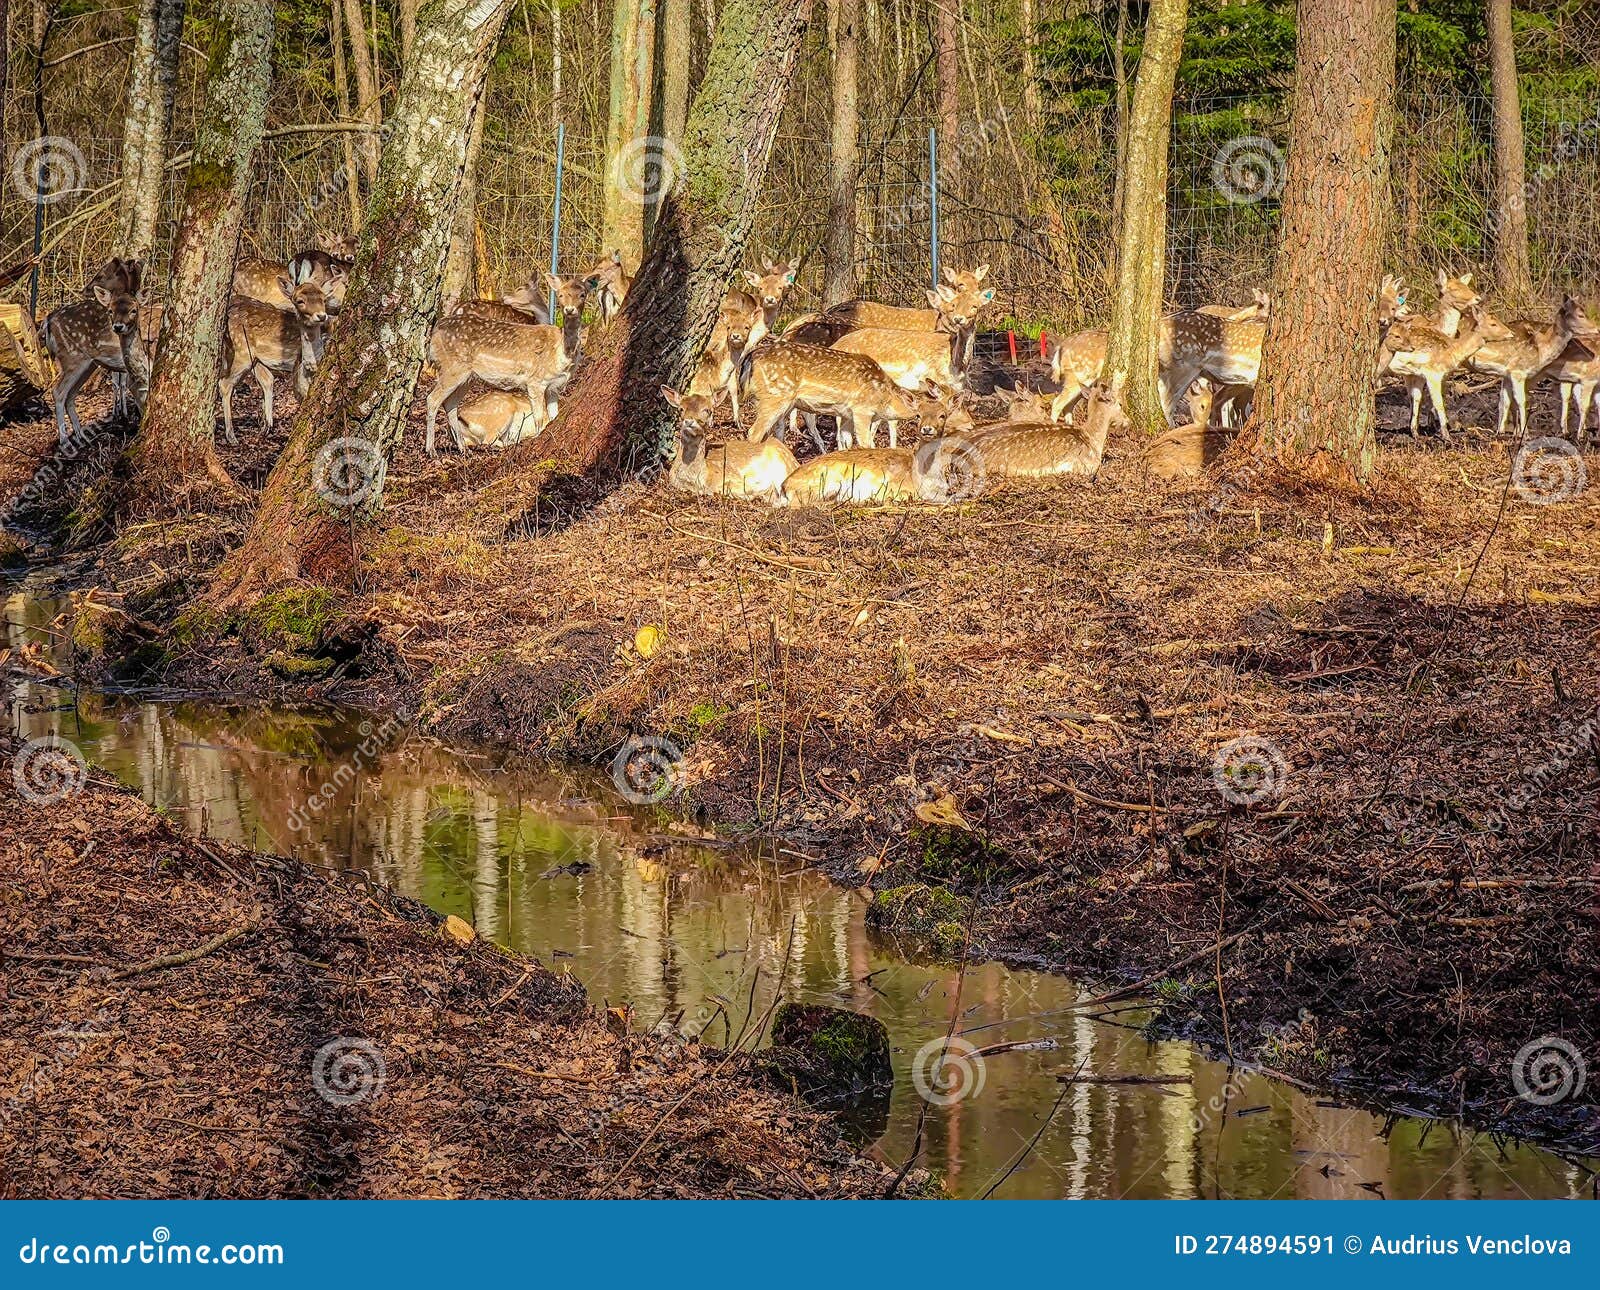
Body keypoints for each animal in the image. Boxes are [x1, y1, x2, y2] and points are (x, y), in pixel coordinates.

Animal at [42, 278, 152, 445]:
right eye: (110, 311)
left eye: (134, 310)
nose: (118, 326)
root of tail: (48, 320)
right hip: (72, 357)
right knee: (58, 392)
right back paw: (65, 441)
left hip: (88, 364)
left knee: (70, 394)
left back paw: (82, 436)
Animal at [218, 275, 330, 443]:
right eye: (300, 300)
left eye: (323, 299)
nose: (321, 316)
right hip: (239, 352)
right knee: (225, 383)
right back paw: (232, 437)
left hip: (254, 359)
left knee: (267, 380)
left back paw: (266, 428)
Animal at [426, 272, 590, 456]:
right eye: (560, 295)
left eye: (582, 294)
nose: (570, 310)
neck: (562, 353)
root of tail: (434, 334)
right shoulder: (535, 381)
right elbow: (539, 418)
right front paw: (535, 440)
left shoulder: (554, 386)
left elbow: (554, 417)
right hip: (452, 368)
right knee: (432, 399)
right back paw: (431, 450)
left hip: (467, 377)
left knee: (450, 404)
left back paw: (463, 449)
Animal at [1467, 296, 1597, 437]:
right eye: (1580, 315)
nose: (1597, 329)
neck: (1541, 348)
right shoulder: (1519, 371)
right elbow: (1521, 401)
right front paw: (1524, 434)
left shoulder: (1507, 373)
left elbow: (1505, 401)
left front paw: (1502, 432)